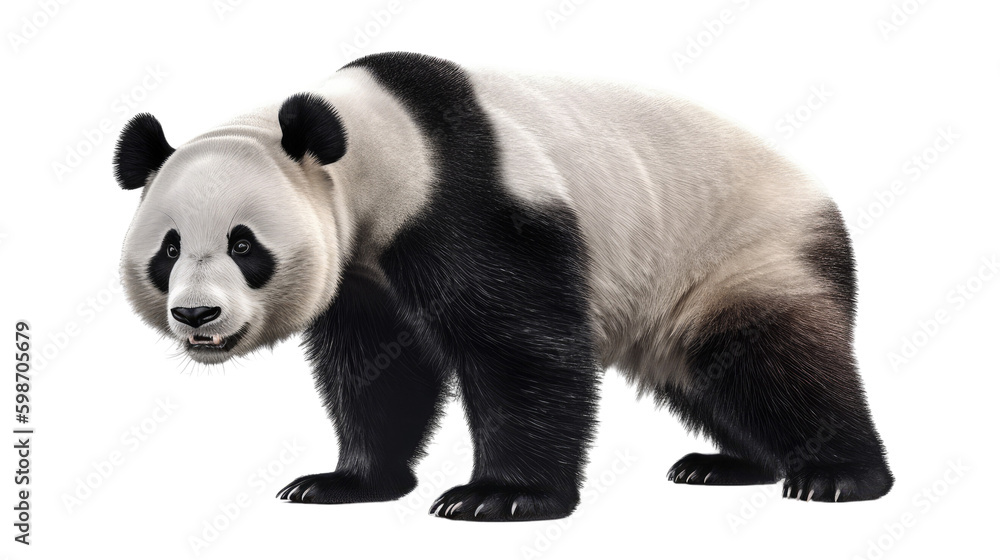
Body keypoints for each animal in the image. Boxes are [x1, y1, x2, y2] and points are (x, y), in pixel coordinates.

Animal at [115, 52, 893, 521]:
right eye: (169, 250)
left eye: (244, 244)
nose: (197, 315)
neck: (369, 145)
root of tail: (822, 201)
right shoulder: (361, 271)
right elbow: (374, 371)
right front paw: (345, 482)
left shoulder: (468, 201)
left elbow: (522, 347)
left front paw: (498, 496)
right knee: (712, 381)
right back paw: (727, 465)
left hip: (740, 251)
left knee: (774, 363)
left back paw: (838, 477)